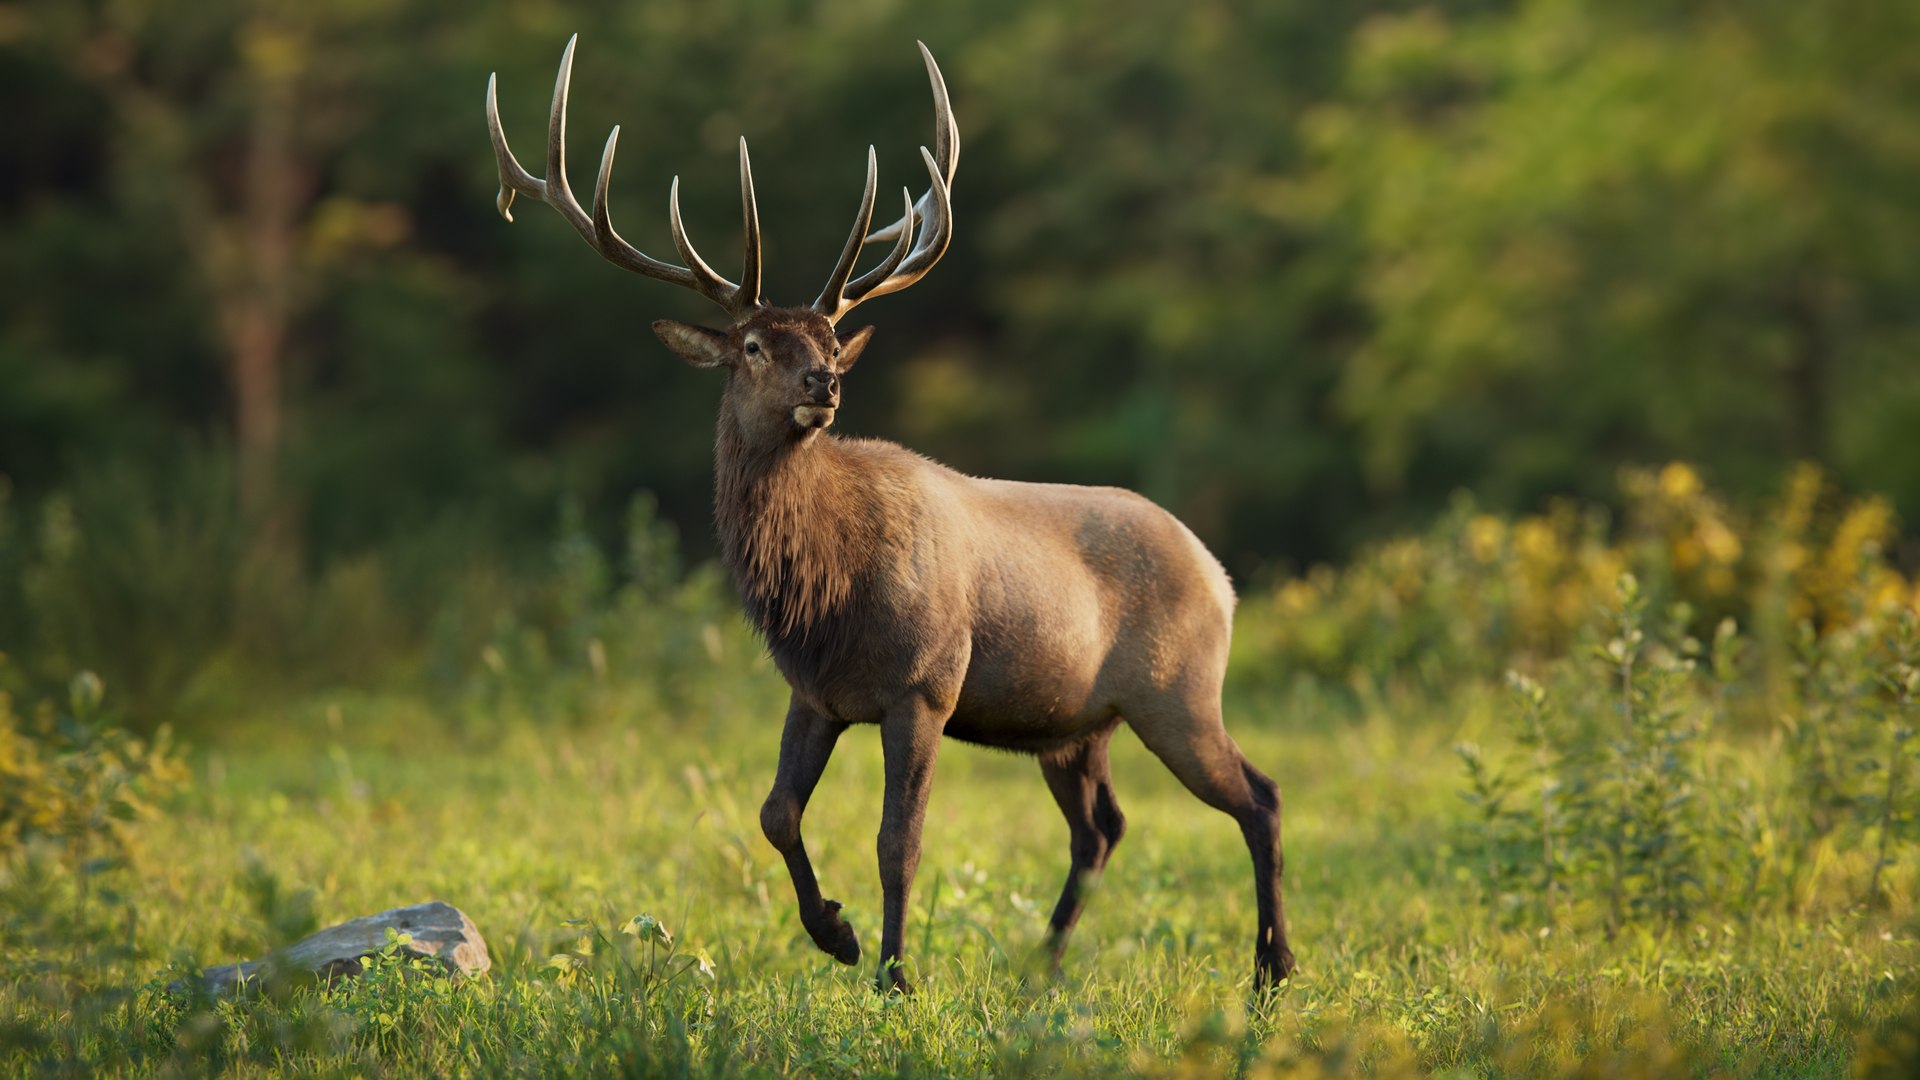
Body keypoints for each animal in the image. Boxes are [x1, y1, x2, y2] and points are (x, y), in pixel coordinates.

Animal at [486, 36, 1296, 995]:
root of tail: (1221, 575)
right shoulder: (815, 691)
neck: (825, 595)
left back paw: (1272, 968)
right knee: (1103, 827)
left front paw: (895, 974)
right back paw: (1042, 968)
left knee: (1258, 796)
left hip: (1178, 689)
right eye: (752, 344)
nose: (824, 384)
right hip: (1073, 724)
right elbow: (774, 813)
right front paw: (834, 934)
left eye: (832, 339)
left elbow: (896, 841)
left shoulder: (926, 683)